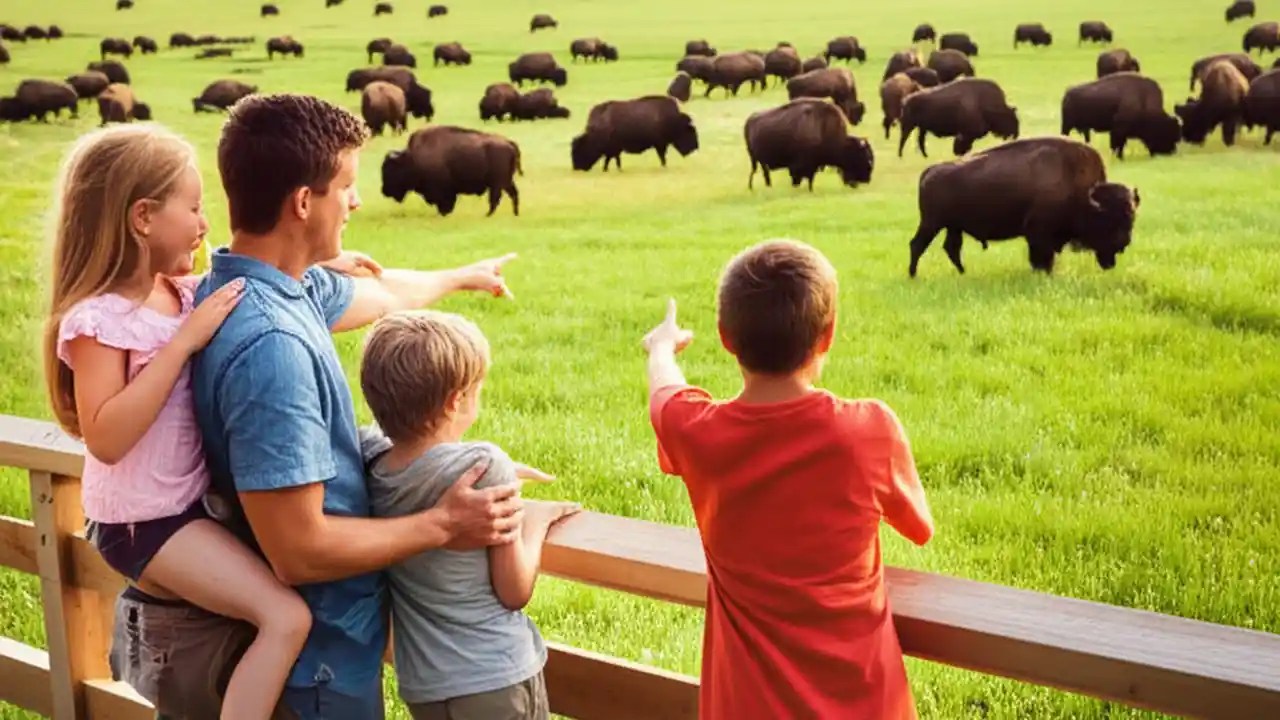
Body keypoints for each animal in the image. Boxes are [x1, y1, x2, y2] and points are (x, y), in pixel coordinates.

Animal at [382, 126, 522, 217]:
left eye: (390, 169)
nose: (384, 191)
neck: (412, 159)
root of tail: (508, 143)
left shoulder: (443, 190)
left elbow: (446, 202)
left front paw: (444, 213)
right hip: (506, 181)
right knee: (513, 194)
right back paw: (514, 214)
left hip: (497, 183)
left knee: (495, 198)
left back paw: (488, 215)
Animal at [745, 99, 873, 190]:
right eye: (864, 157)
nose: (866, 180)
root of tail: (749, 121)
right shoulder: (802, 165)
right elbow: (802, 178)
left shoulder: (812, 165)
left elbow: (809, 178)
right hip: (754, 159)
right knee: (756, 172)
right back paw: (754, 187)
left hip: (759, 160)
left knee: (762, 173)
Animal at [908, 137, 1138, 276]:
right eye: (1109, 220)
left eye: (1131, 218)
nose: (1124, 243)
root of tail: (929, 171)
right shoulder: (1038, 233)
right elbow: (1041, 257)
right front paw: (1044, 273)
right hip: (932, 223)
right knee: (917, 245)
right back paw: (913, 275)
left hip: (952, 227)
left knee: (951, 248)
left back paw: (963, 273)